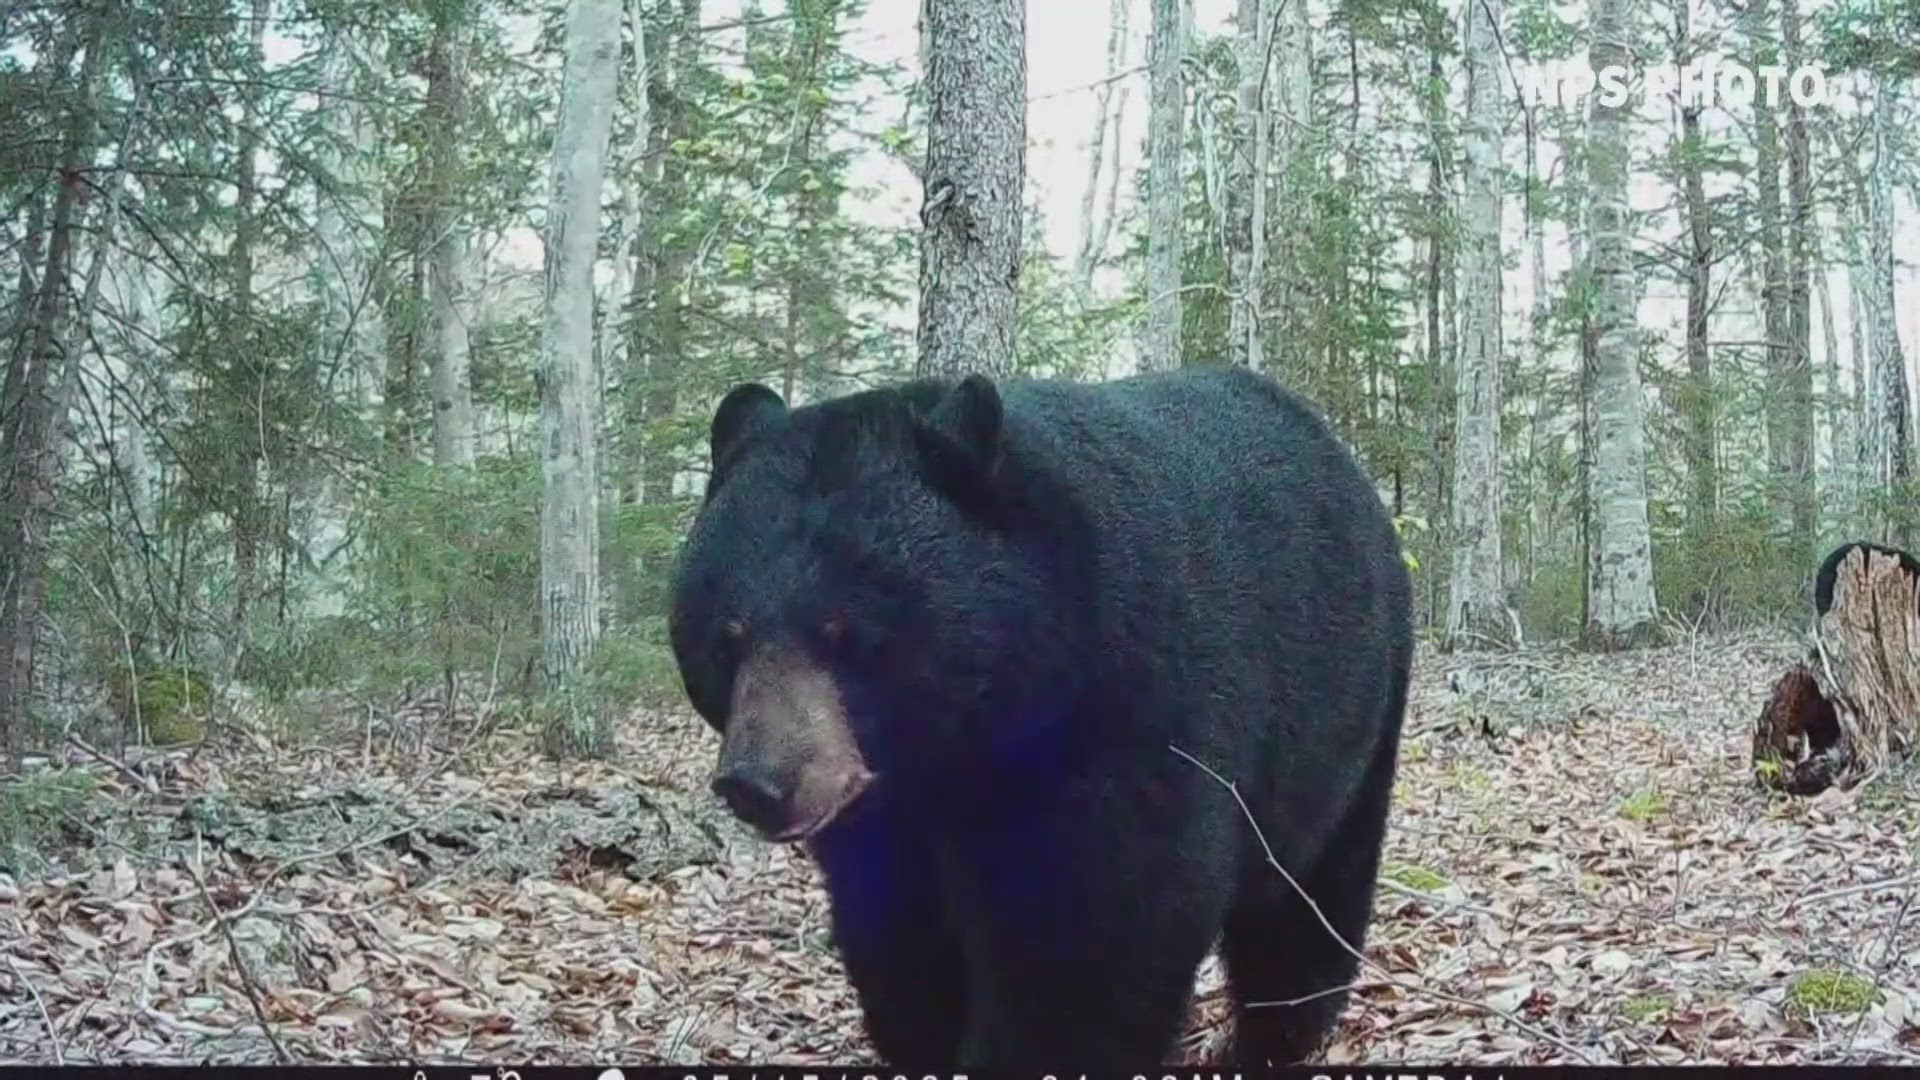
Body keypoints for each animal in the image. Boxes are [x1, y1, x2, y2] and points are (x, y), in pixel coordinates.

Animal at [667, 365, 1413, 1068]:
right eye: (728, 636)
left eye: (841, 632)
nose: (756, 782)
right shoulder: (889, 822)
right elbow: (899, 939)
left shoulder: (1128, 721)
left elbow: (1093, 939)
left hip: (1350, 715)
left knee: (1308, 894)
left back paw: (1273, 1036)